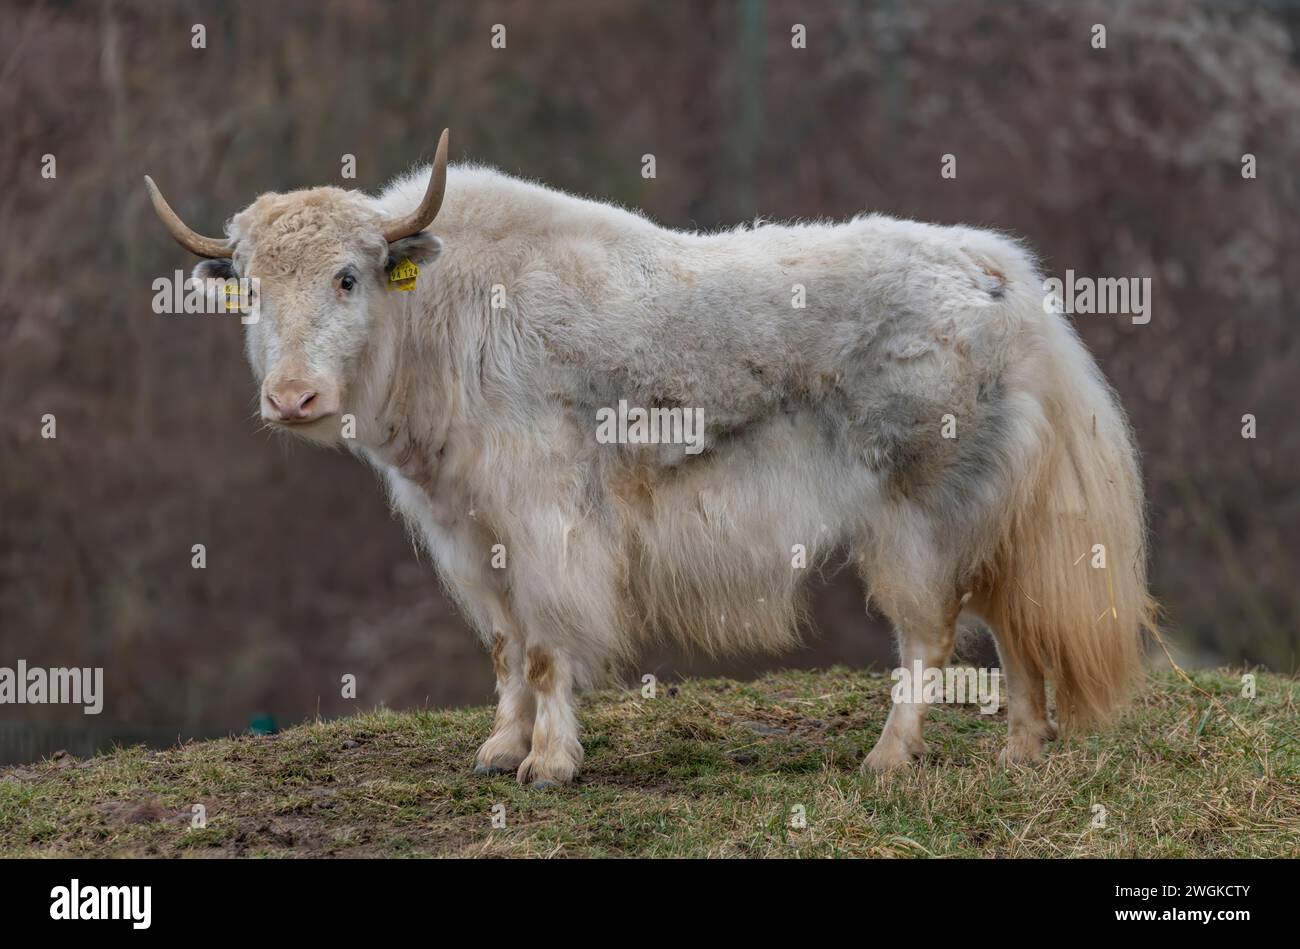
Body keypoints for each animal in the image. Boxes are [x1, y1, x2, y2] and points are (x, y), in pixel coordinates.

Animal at [145, 130, 1156, 787]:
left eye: (348, 276)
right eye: (251, 288)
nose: (292, 399)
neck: (441, 312)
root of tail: (1001, 278)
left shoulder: (546, 521)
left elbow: (546, 644)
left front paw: (549, 764)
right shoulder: (469, 532)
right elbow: (505, 643)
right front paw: (498, 749)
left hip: (915, 516)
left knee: (931, 633)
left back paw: (889, 757)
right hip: (985, 512)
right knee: (1011, 618)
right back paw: (1020, 750)